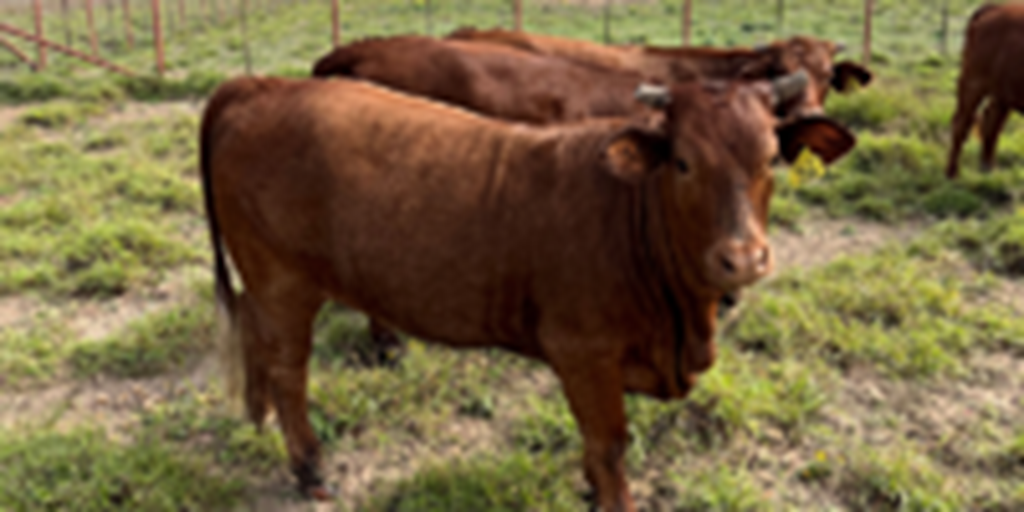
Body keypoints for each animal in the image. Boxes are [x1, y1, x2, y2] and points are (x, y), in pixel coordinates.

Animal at [200, 74, 856, 511]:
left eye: (770, 158)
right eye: (684, 163)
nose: (742, 257)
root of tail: (256, 85)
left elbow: (594, 447)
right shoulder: (583, 352)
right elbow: (610, 444)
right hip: (283, 284)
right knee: (290, 372)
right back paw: (309, 467)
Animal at [945, 3, 1024, 179]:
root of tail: (997, 6)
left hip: (1003, 92)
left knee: (991, 121)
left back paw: (989, 169)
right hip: (973, 83)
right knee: (961, 124)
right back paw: (952, 172)